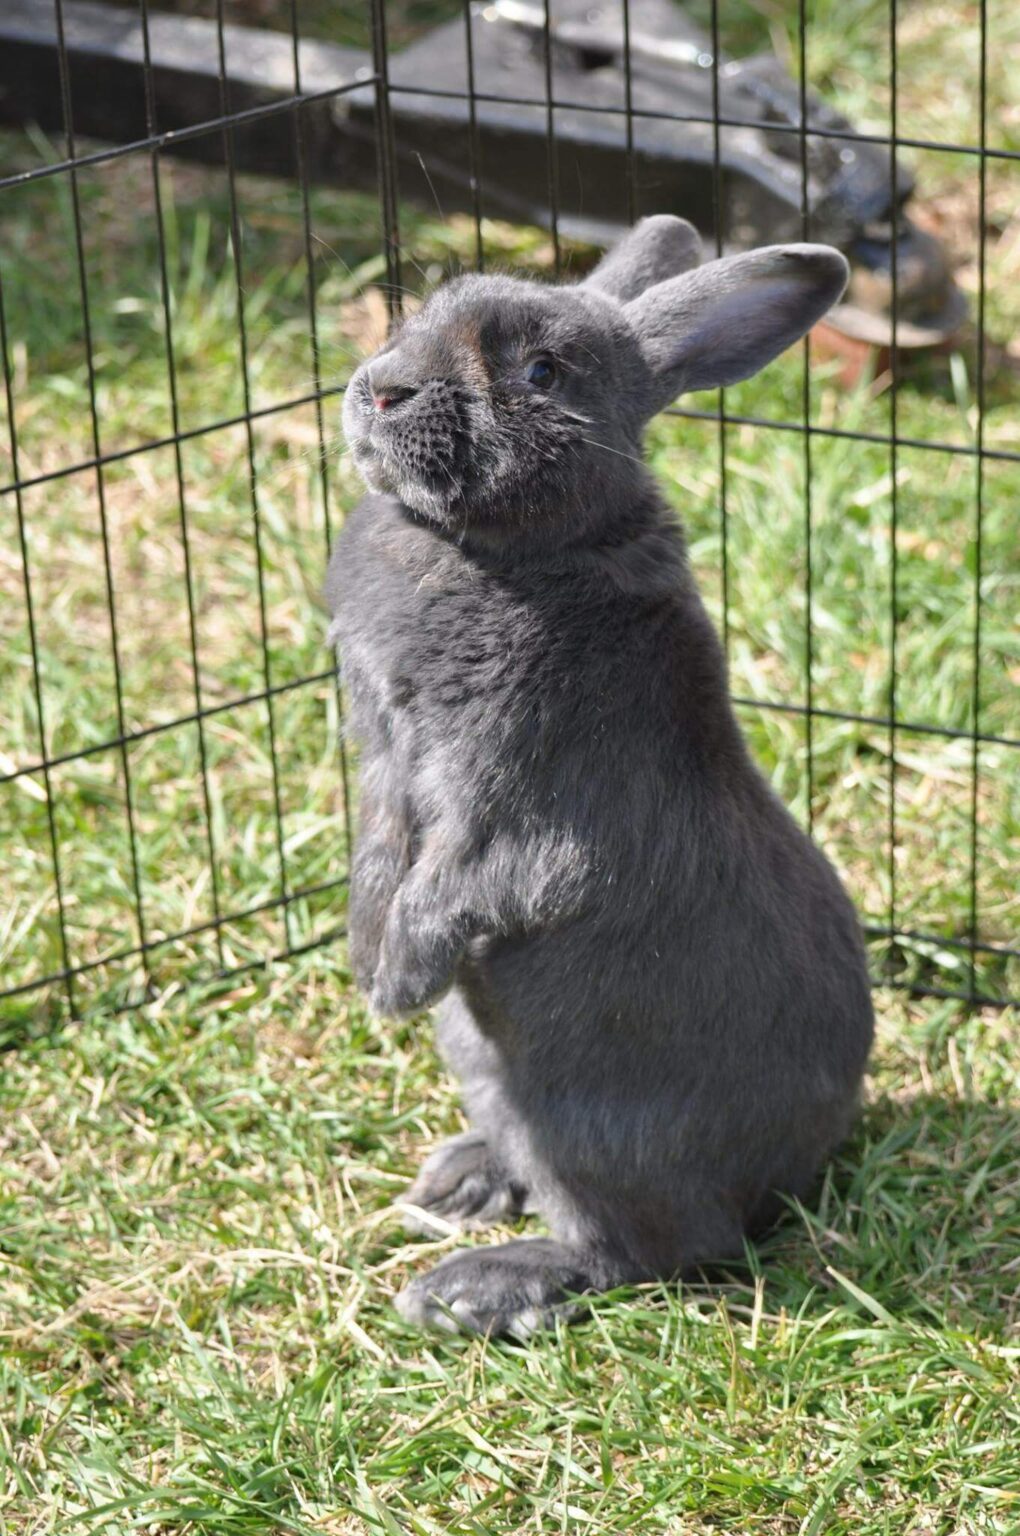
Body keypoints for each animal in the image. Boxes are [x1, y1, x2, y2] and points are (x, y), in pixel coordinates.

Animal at [325, 215, 874, 1338]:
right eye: (419, 314)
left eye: (540, 373)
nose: (382, 389)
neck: (506, 550)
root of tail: (787, 1176)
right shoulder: (386, 771)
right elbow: (380, 857)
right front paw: (366, 961)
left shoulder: (525, 813)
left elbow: (462, 886)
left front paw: (394, 986)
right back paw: (462, 1178)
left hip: (593, 1138)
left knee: (650, 1253)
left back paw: (476, 1287)